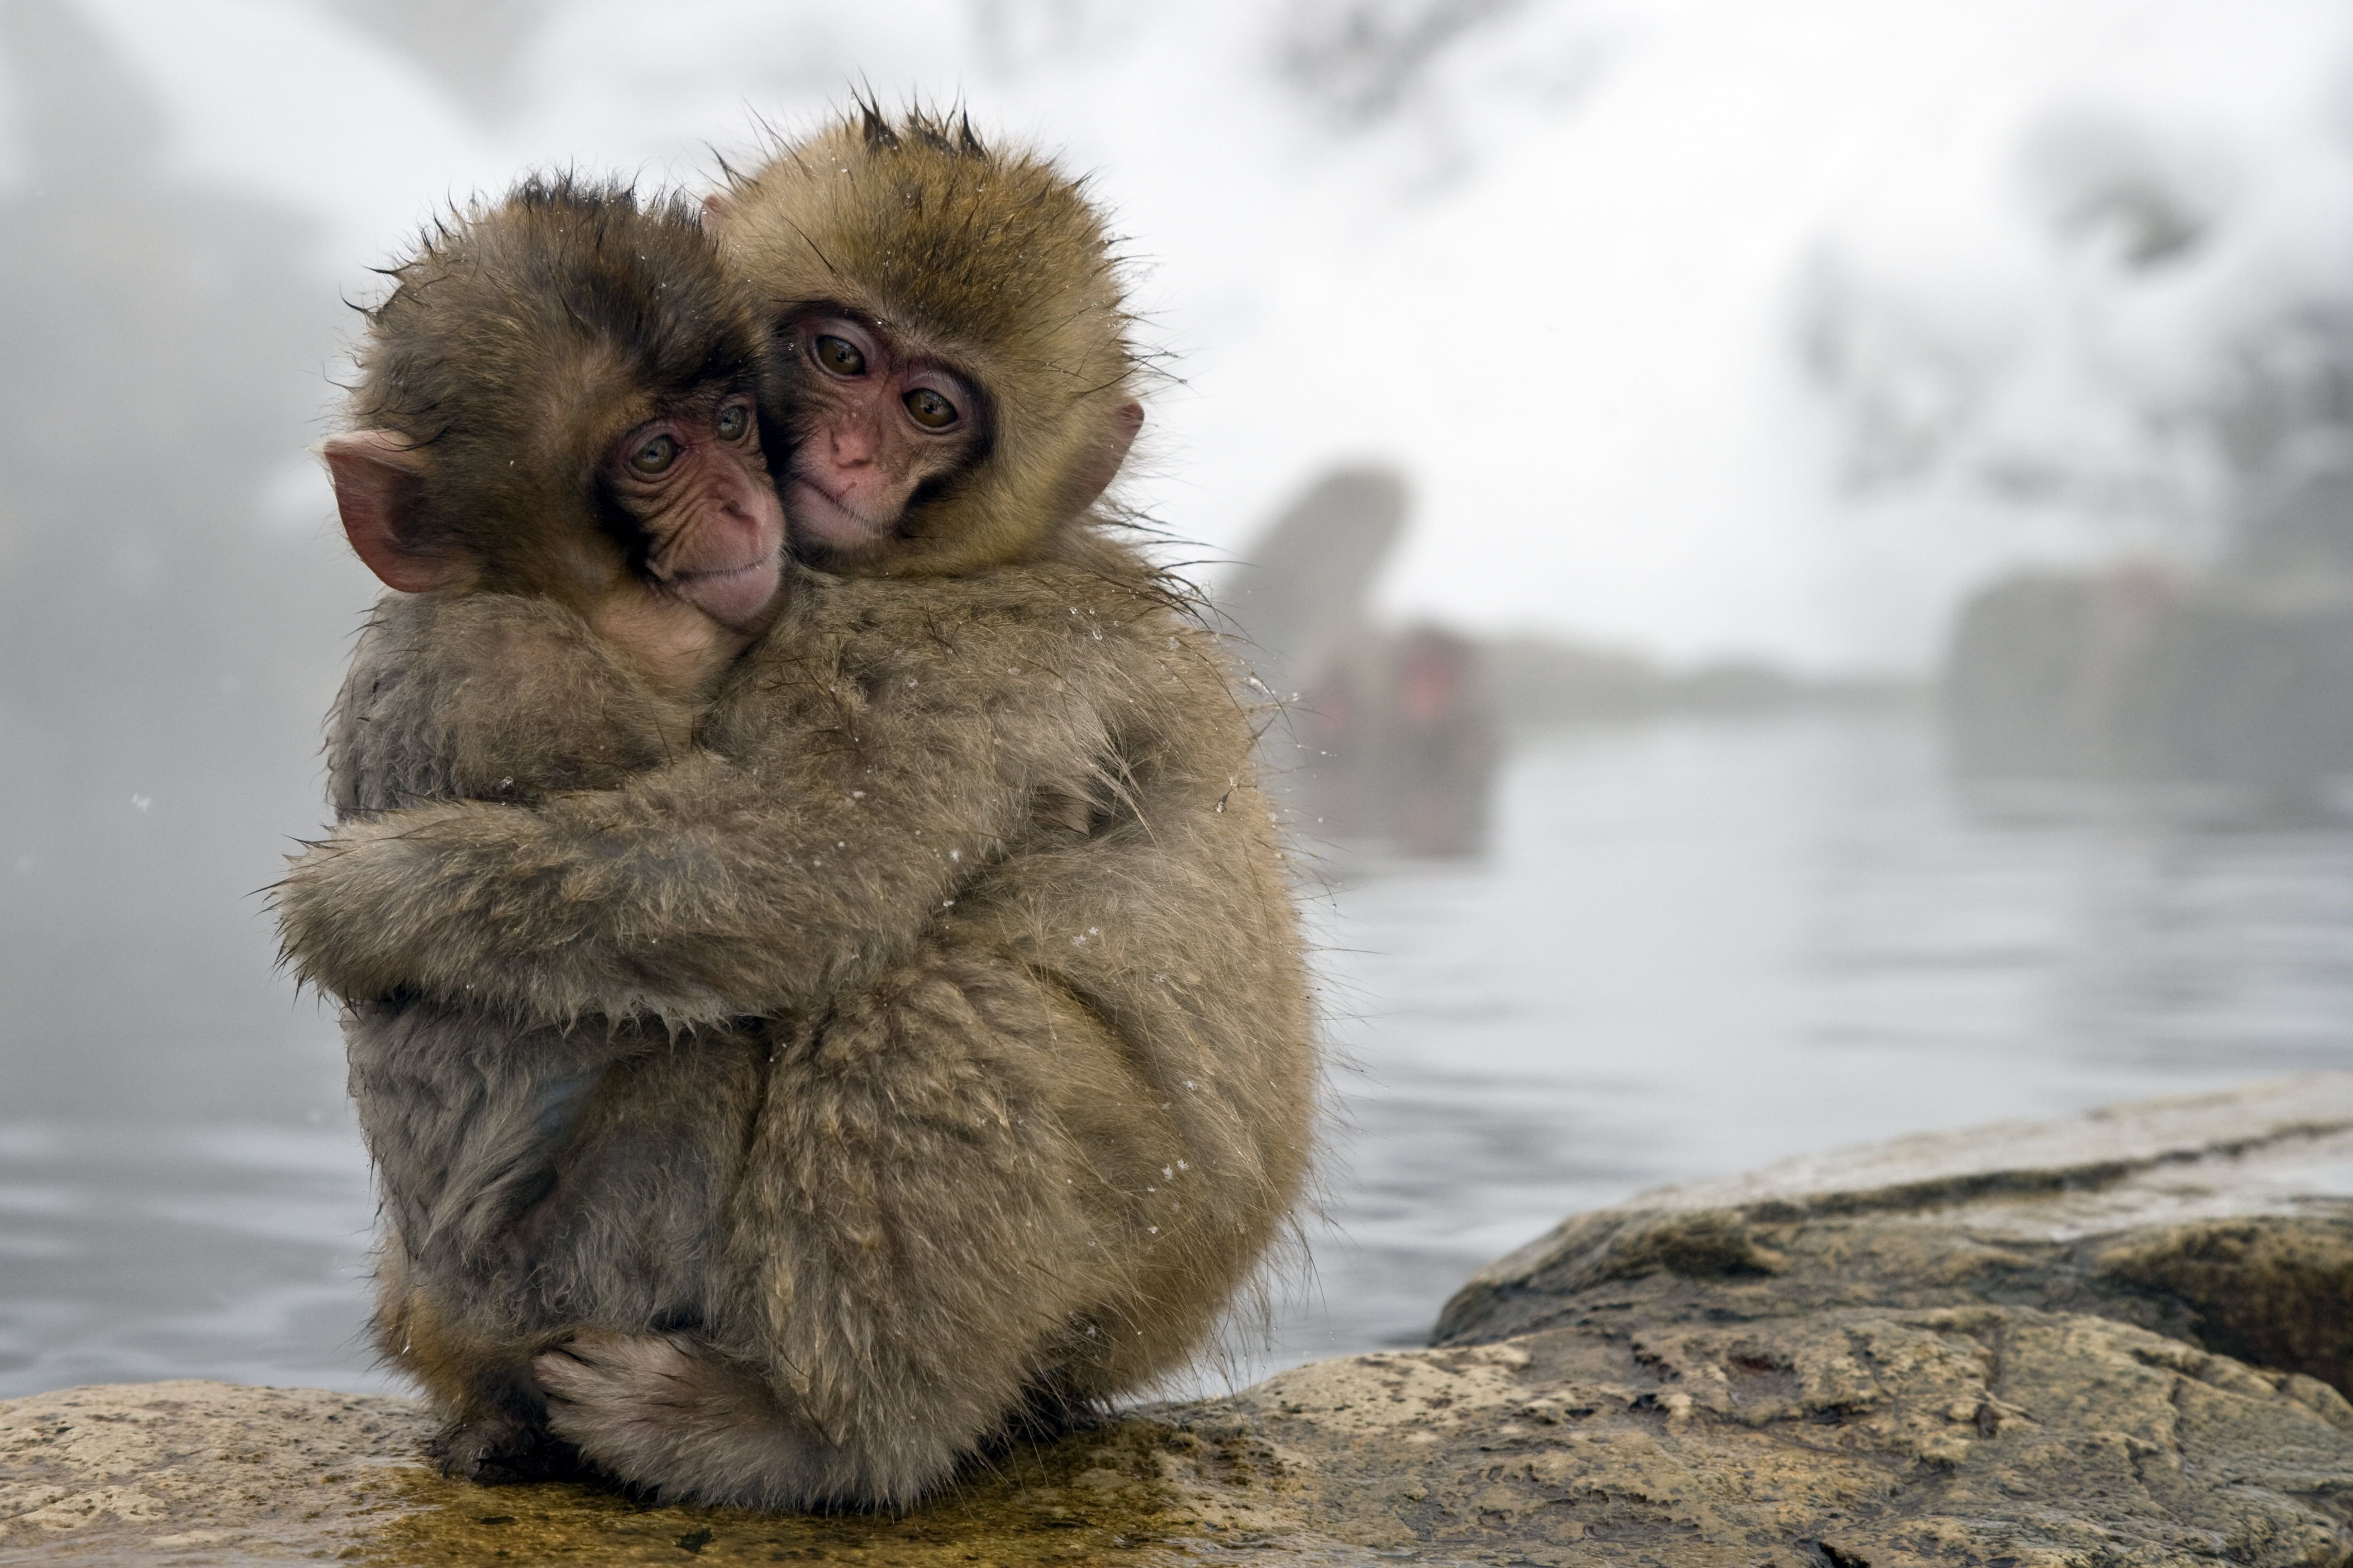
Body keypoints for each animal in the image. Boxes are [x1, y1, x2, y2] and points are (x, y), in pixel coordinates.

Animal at [277, 111, 1317, 1511]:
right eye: (841, 356)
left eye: (929, 409)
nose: (846, 458)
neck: (949, 563)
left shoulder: (943, 653)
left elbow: (808, 868)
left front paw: (363, 897)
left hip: (1142, 1242)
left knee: (932, 1012)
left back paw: (813, 1438)